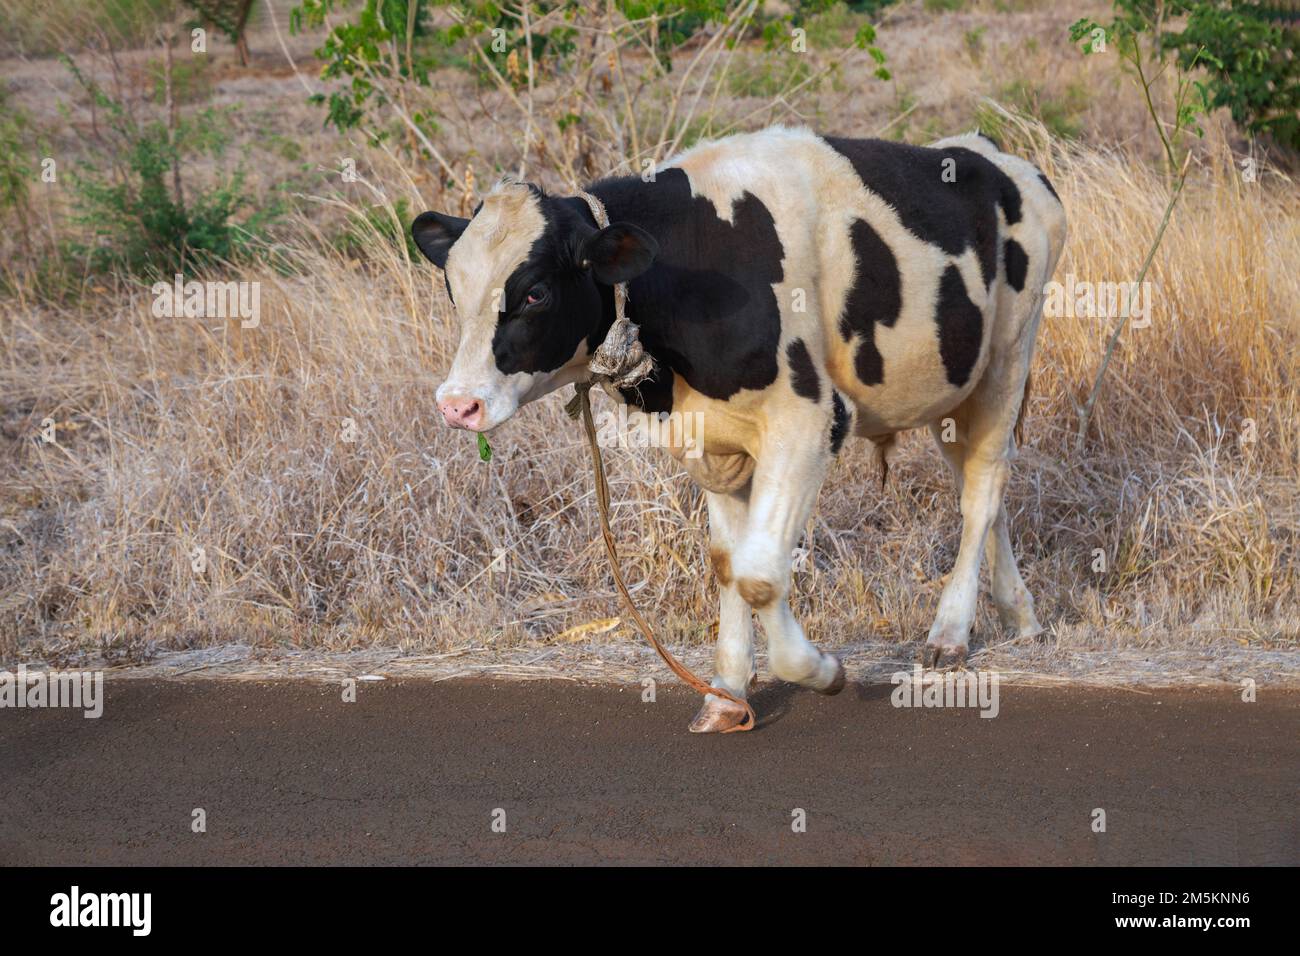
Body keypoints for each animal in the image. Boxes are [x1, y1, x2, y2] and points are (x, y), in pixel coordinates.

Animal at [412, 126, 1067, 733]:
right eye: (453, 289)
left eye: (535, 292)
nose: (457, 405)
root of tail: (991, 151)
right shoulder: (710, 439)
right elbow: (731, 563)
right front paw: (727, 692)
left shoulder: (810, 422)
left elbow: (759, 573)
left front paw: (819, 670)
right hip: (953, 391)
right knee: (982, 486)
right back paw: (1020, 616)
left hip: (1007, 358)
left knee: (983, 491)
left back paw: (950, 633)